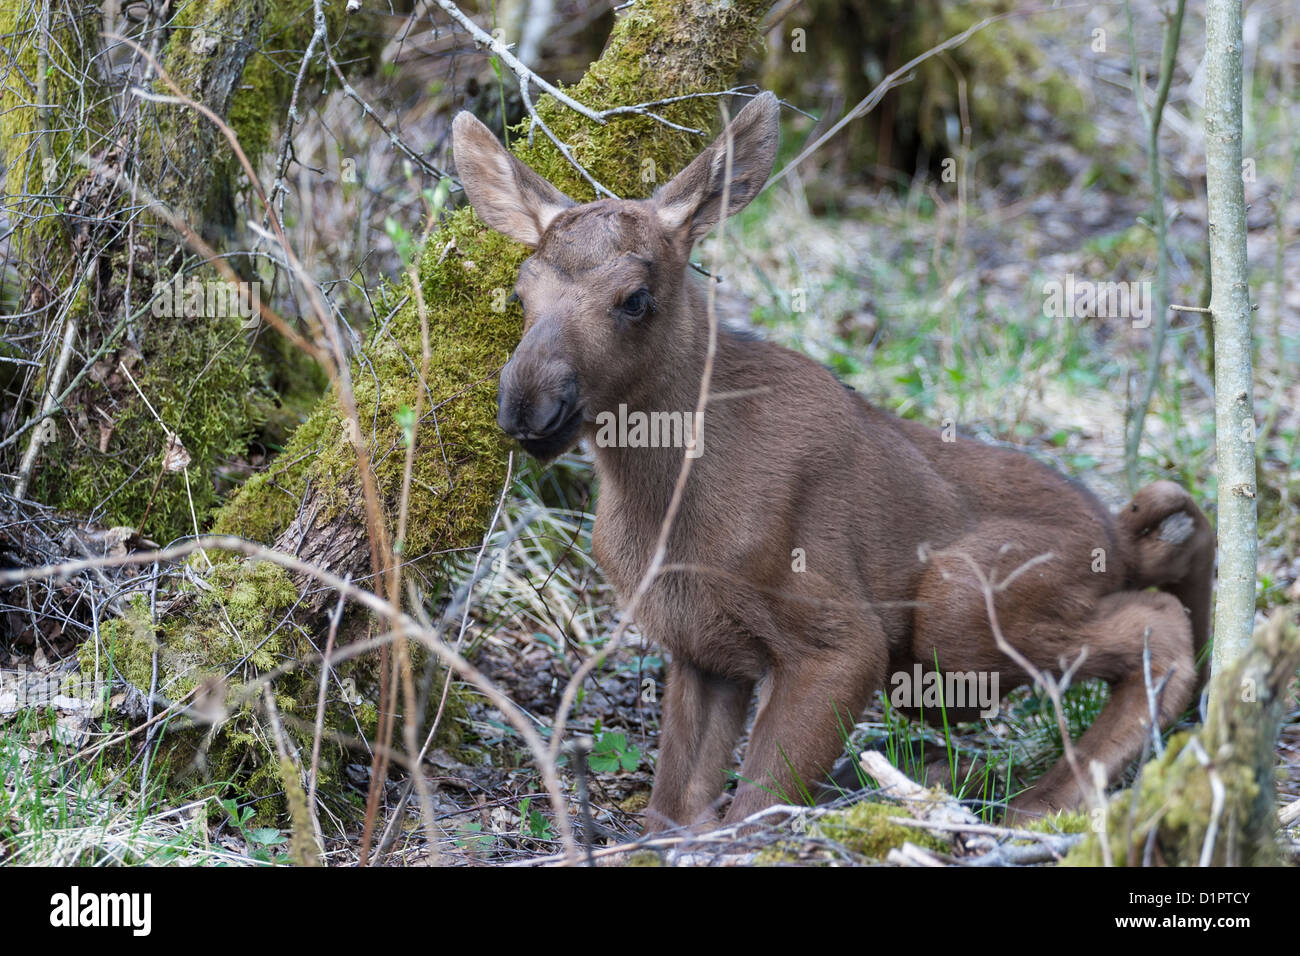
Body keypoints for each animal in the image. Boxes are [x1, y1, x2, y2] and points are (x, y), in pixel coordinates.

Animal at [450, 91, 1215, 832]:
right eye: (520, 293)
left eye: (635, 299)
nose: (527, 403)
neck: (663, 498)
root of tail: (1111, 538)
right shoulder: (700, 646)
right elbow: (675, 809)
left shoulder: (840, 641)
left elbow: (758, 809)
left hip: (955, 613)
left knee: (1157, 617)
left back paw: (1046, 801)